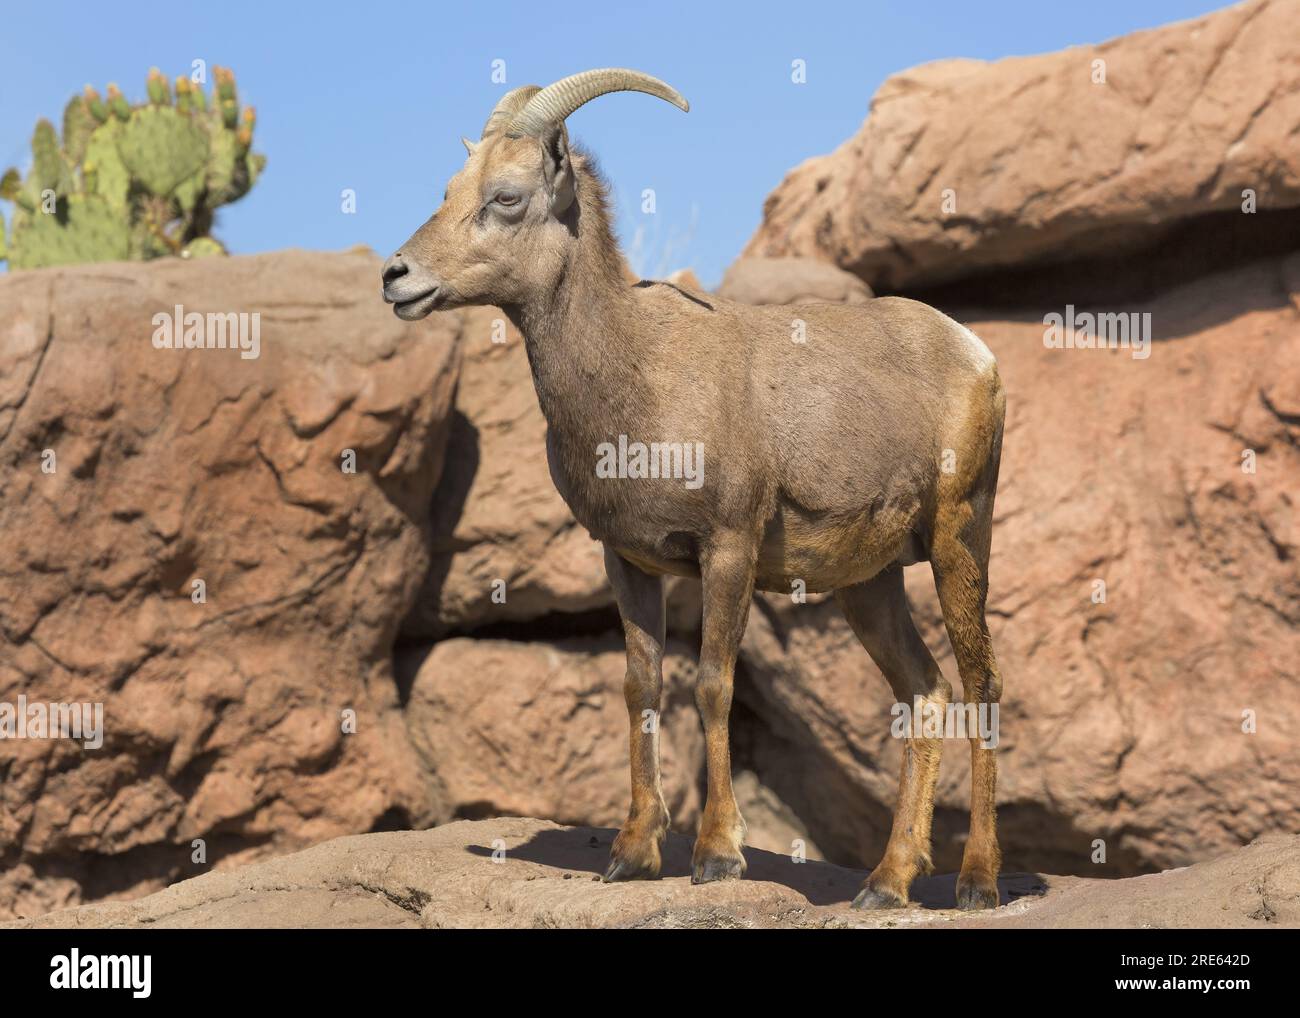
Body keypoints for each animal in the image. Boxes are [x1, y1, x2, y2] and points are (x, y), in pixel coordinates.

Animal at [382, 69, 1007, 910]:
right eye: (449, 189)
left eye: (506, 198)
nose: (397, 278)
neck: (639, 373)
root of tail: (974, 354)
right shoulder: (629, 563)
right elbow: (640, 688)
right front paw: (633, 853)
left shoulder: (728, 550)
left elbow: (712, 684)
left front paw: (717, 854)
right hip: (868, 586)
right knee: (925, 693)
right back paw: (886, 883)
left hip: (957, 542)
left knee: (979, 684)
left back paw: (977, 881)